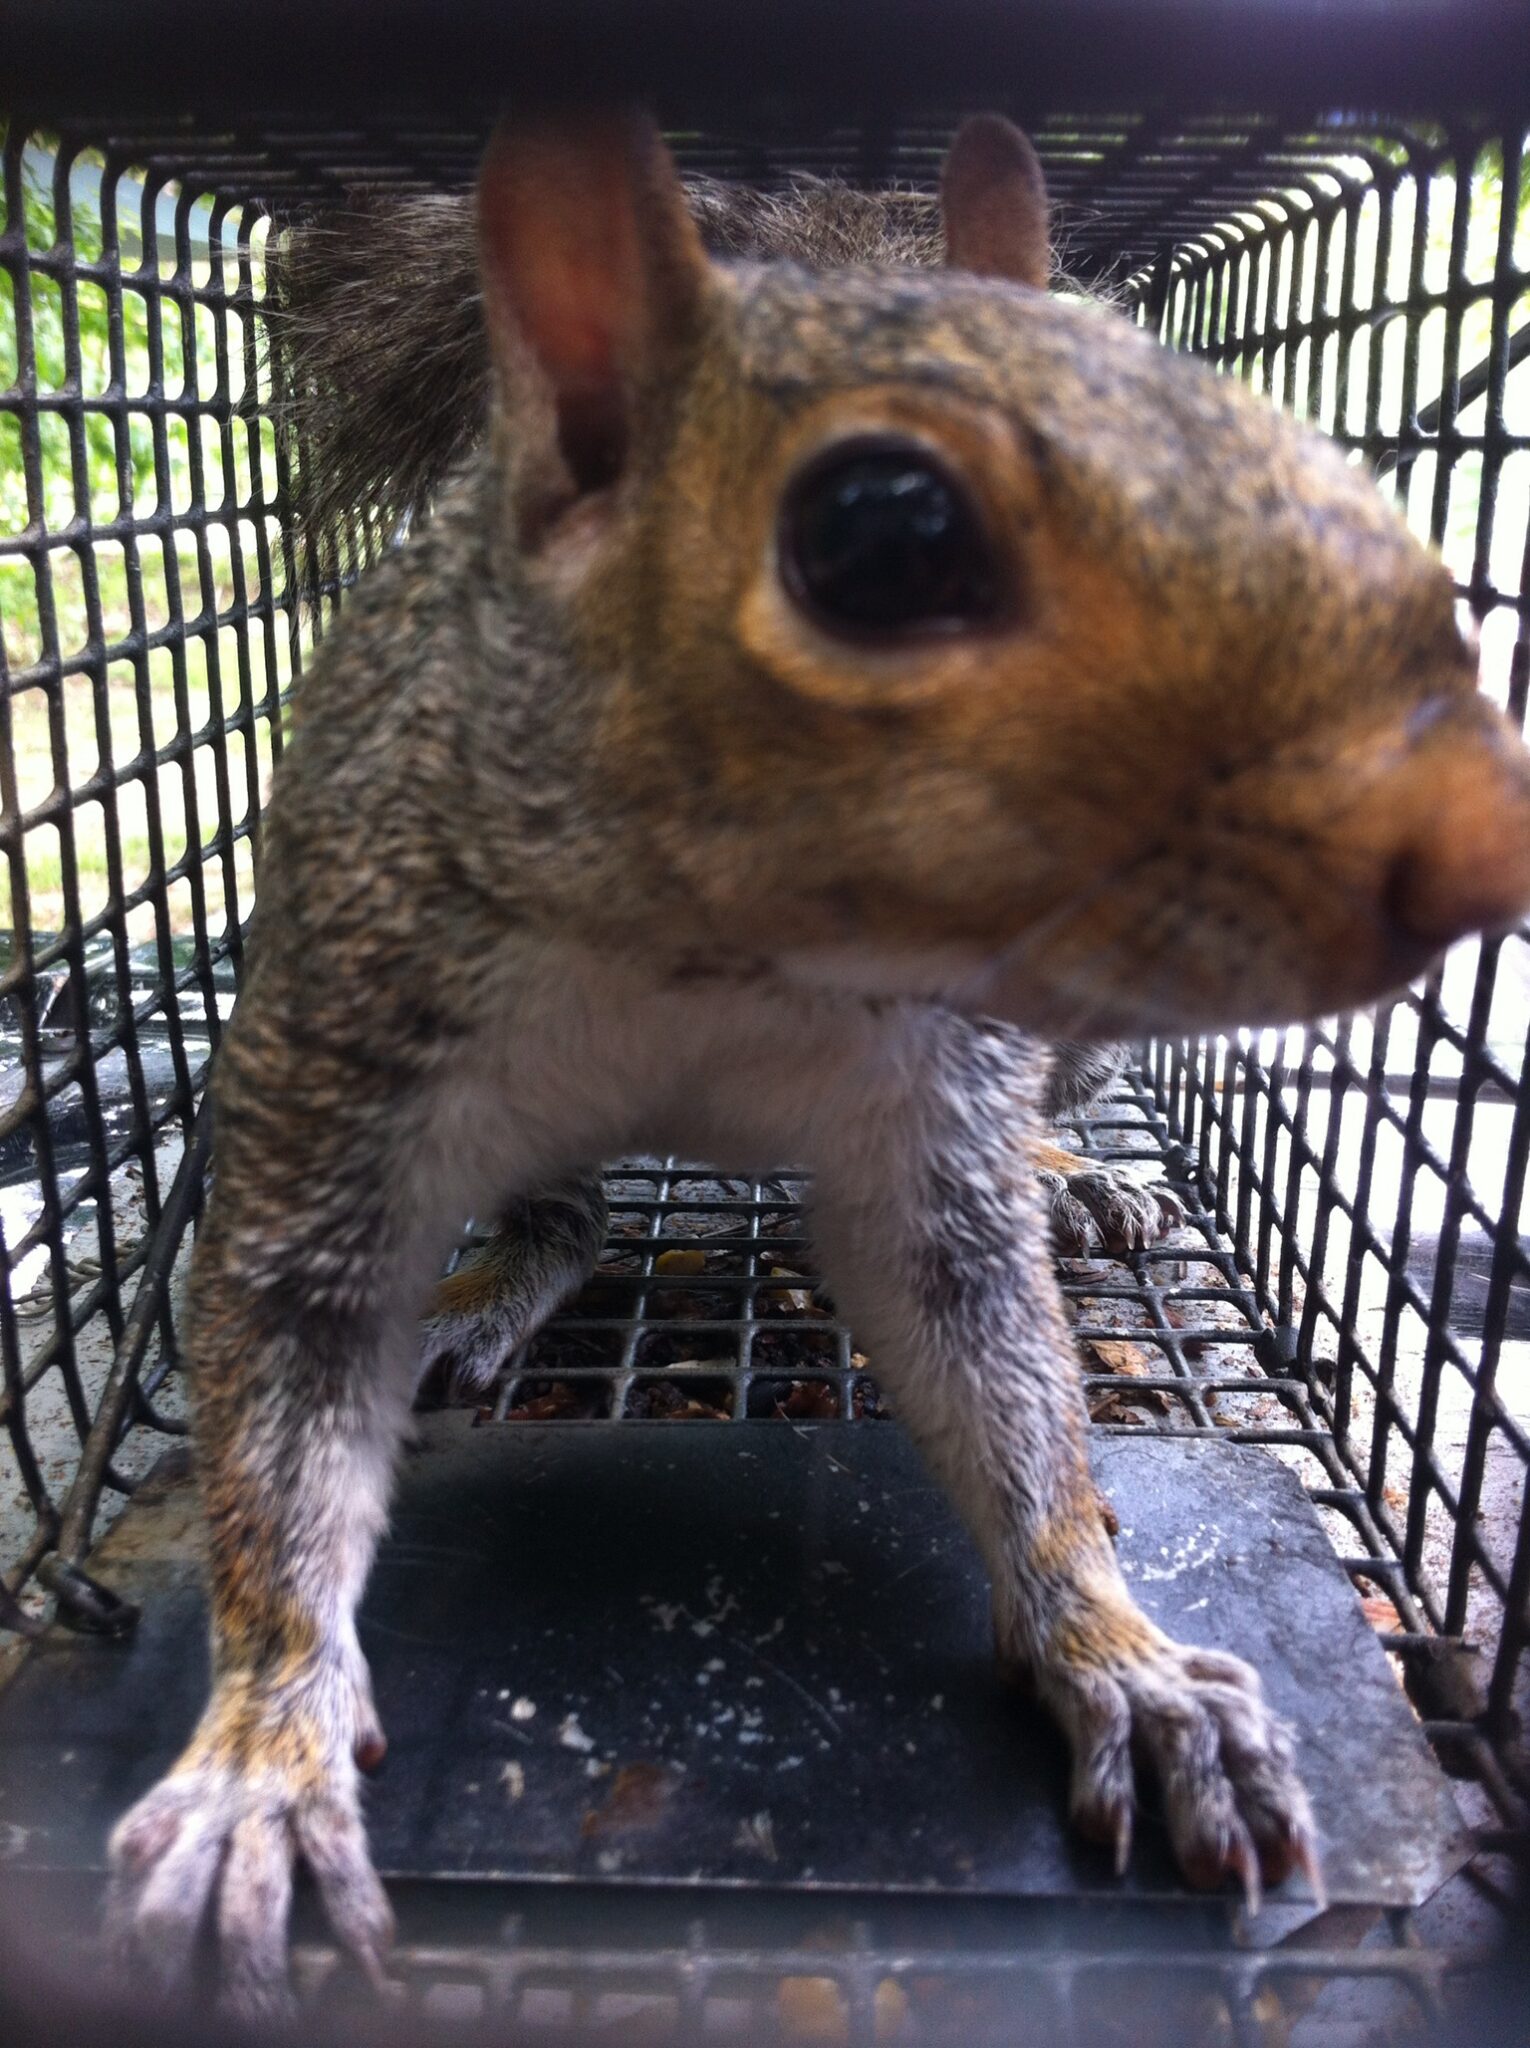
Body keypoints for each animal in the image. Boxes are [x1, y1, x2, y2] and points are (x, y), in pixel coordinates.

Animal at [105, 110, 1530, 2016]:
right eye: (880, 532)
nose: (1472, 835)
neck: (738, 939)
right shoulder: (345, 1032)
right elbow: (278, 1412)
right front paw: (262, 1755)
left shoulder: (931, 1119)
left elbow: (1006, 1392)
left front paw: (1124, 1662)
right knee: (565, 1212)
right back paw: (488, 1288)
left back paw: (1080, 1181)